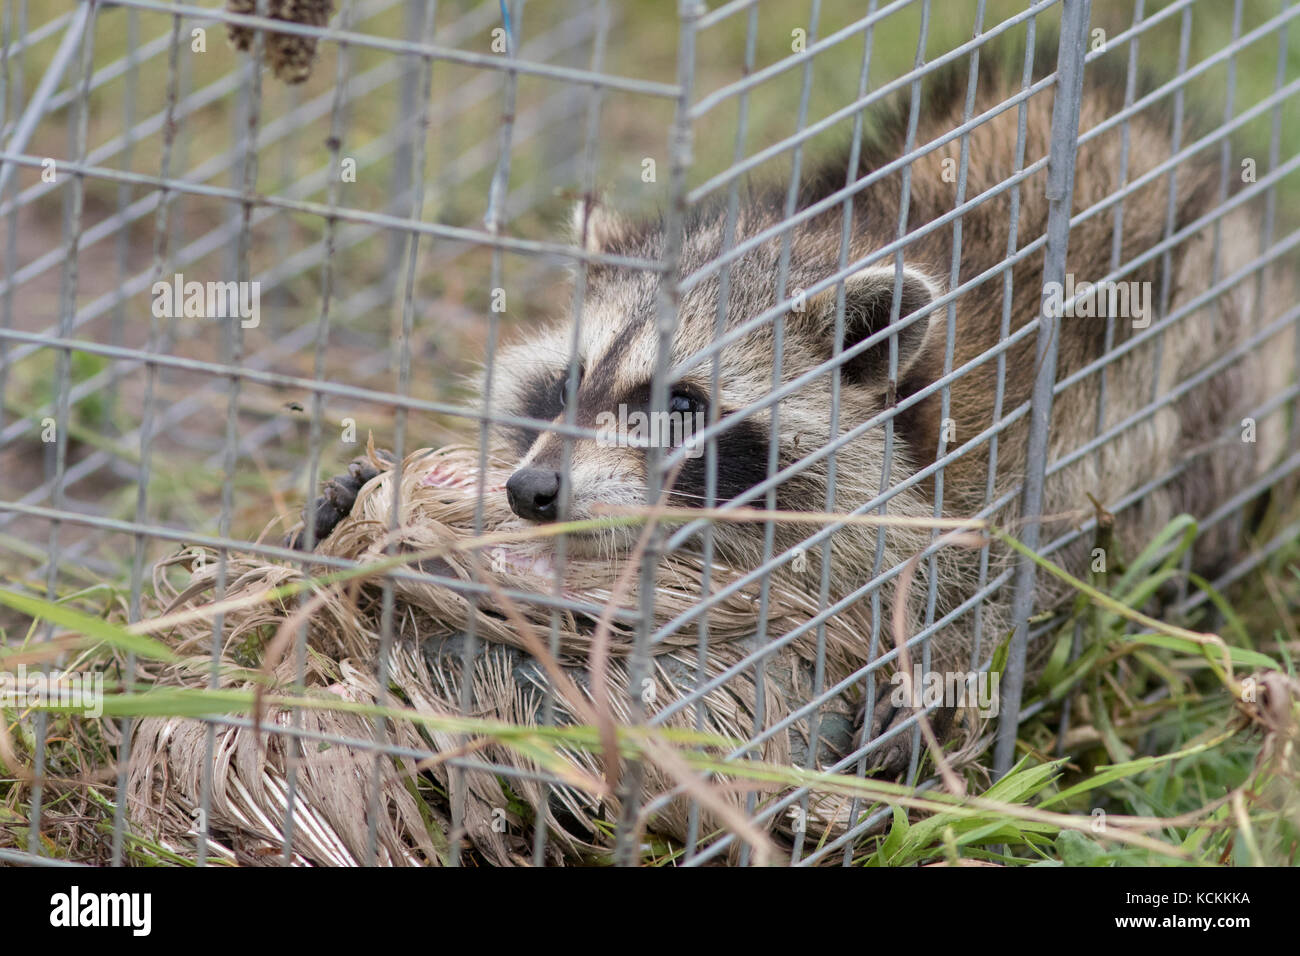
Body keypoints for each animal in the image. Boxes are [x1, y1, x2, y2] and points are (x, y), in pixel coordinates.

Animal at [293, 44, 1295, 775]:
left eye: (683, 405)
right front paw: (362, 495)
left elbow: (1030, 568)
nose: (532, 491)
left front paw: (945, 662)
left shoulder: (1027, 456)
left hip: (1217, 352)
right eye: (570, 384)